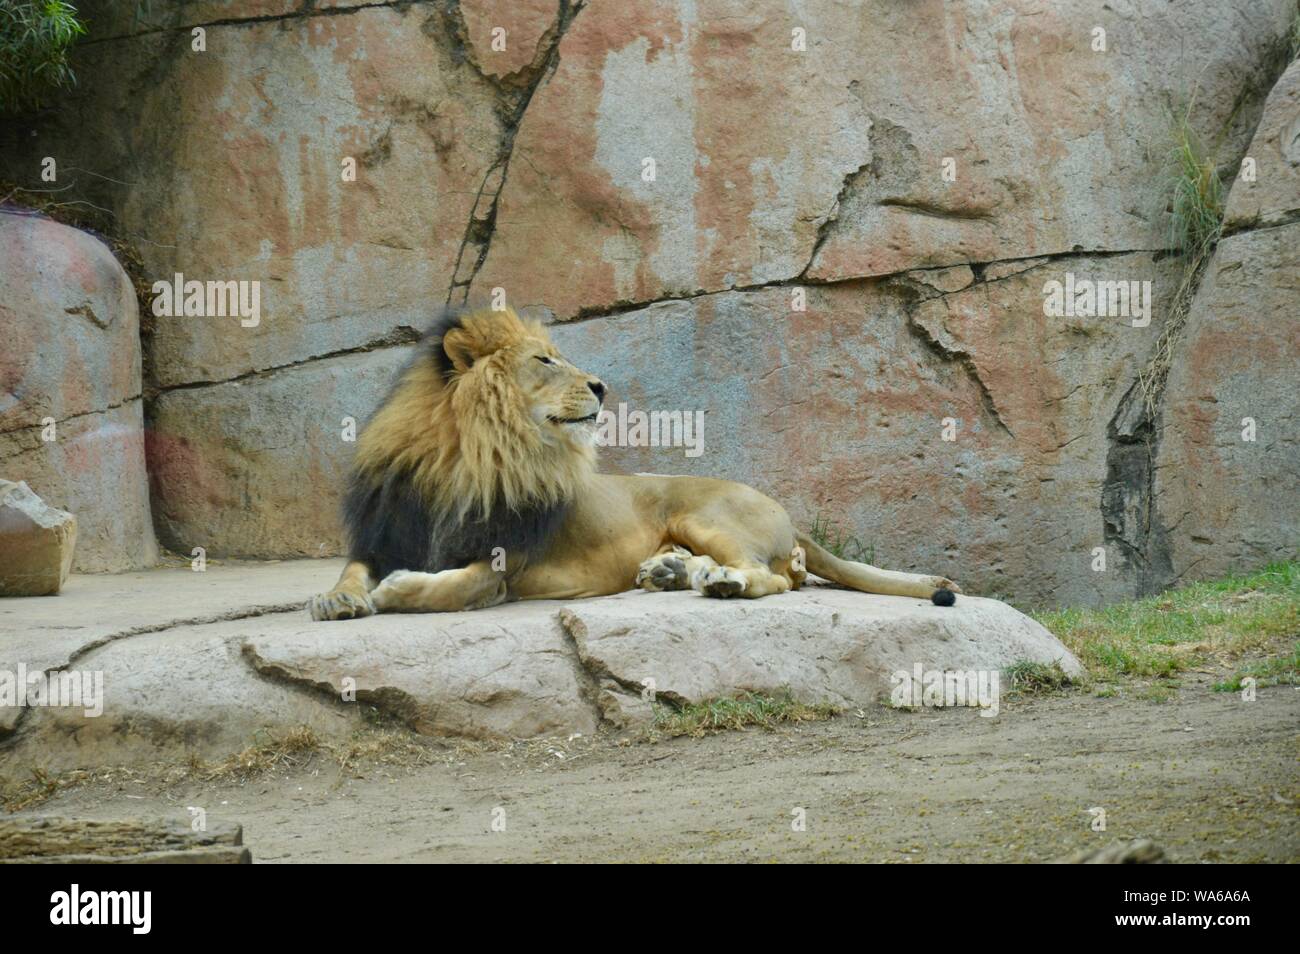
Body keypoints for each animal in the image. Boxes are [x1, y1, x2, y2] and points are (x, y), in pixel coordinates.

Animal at [308, 307, 960, 621]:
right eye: (545, 360)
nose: (601, 385)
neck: (464, 458)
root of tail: (792, 516)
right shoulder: (387, 533)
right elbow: (352, 571)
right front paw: (336, 601)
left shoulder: (501, 565)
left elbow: (450, 587)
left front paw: (396, 592)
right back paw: (672, 572)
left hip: (711, 516)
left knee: (774, 577)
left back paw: (724, 583)